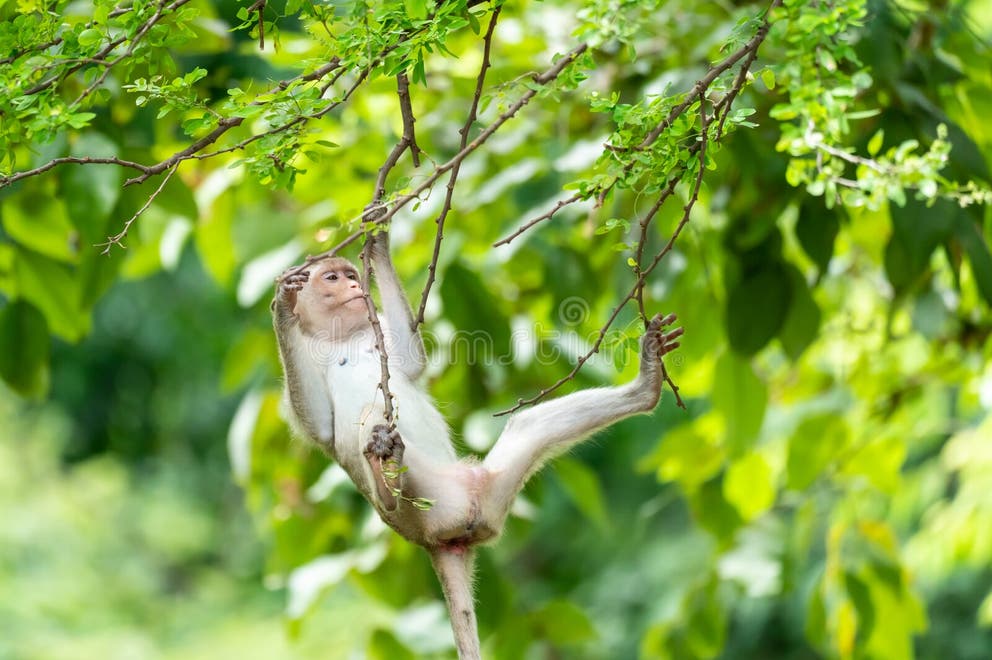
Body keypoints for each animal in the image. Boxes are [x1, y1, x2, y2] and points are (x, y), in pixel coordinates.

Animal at [271, 231, 683, 660]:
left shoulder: (376, 326)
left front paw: (378, 242)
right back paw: (387, 483)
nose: (354, 287)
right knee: (372, 419)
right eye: (332, 278)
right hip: (429, 510)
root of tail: (436, 540)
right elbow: (321, 425)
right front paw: (283, 307)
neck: (343, 338)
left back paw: (646, 387)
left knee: (525, 426)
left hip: (480, 496)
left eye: (351, 275)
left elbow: (411, 361)